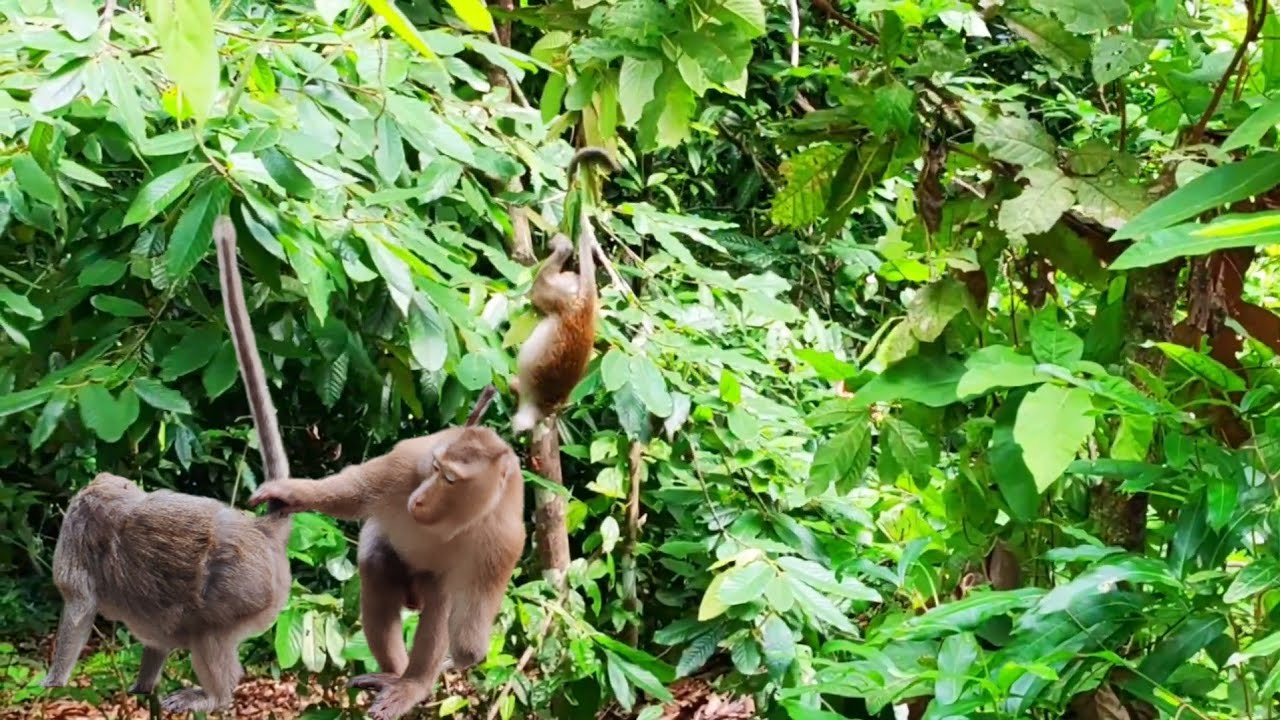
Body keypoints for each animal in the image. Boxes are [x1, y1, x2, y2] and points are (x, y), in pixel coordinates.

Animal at [40, 215, 293, 713]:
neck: (104, 491)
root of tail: (260, 531)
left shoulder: (75, 532)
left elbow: (78, 607)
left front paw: (53, 683)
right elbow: (155, 635)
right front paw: (143, 685)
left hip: (242, 587)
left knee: (208, 633)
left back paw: (214, 697)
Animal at [246, 398, 524, 720]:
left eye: (450, 479)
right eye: (435, 468)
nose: (421, 498)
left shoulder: (504, 541)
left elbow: (469, 640)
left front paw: (464, 657)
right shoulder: (410, 462)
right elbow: (354, 492)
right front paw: (290, 491)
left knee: (440, 599)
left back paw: (413, 684)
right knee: (377, 563)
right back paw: (393, 674)